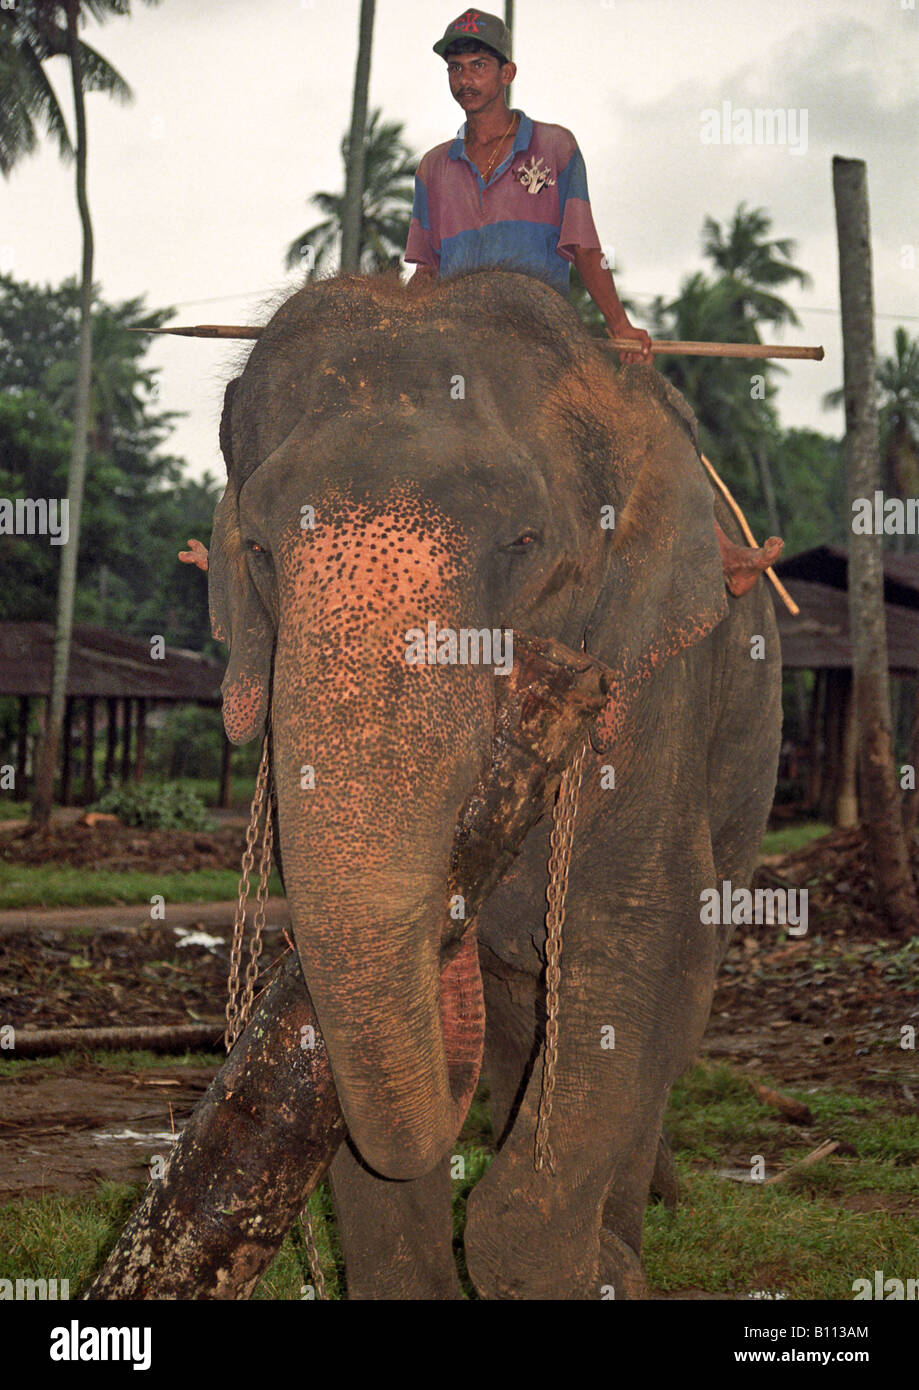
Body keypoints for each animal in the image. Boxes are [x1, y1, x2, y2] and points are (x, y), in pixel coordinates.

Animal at [208, 267, 782, 1300]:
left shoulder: (647, 686)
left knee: (676, 1004)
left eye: (522, 541)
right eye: (262, 552)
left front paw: (599, 1271)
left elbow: (630, 941)